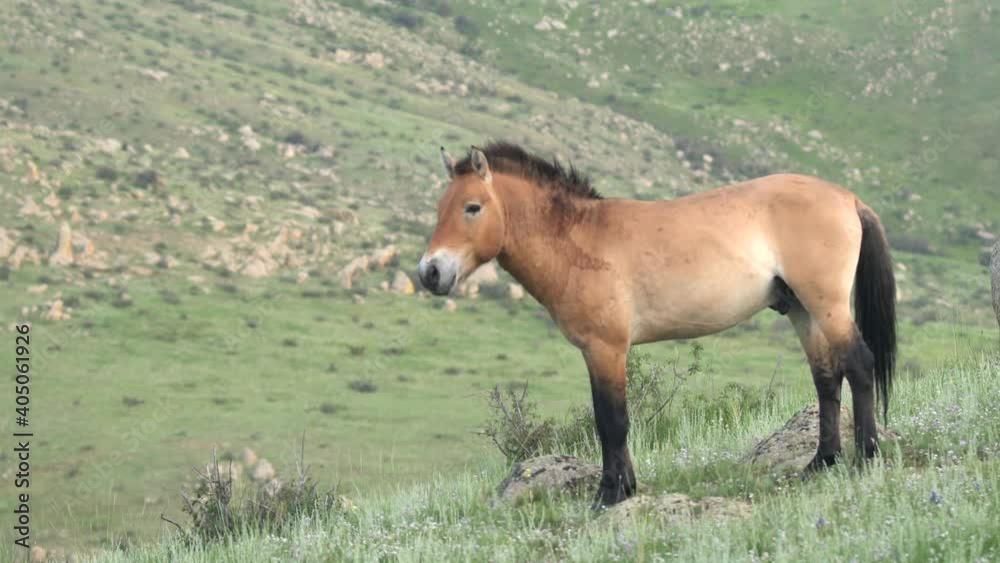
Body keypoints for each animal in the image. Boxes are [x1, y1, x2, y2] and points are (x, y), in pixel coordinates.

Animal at [419, 142, 896, 507]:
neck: (580, 241)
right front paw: (625, 488)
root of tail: (848, 199)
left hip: (826, 305)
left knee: (859, 364)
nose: (430, 273)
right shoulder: (599, 353)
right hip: (803, 311)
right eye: (440, 208)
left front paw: (609, 496)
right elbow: (610, 421)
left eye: (472, 207)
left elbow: (611, 421)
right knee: (826, 378)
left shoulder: (606, 348)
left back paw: (865, 458)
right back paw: (820, 463)